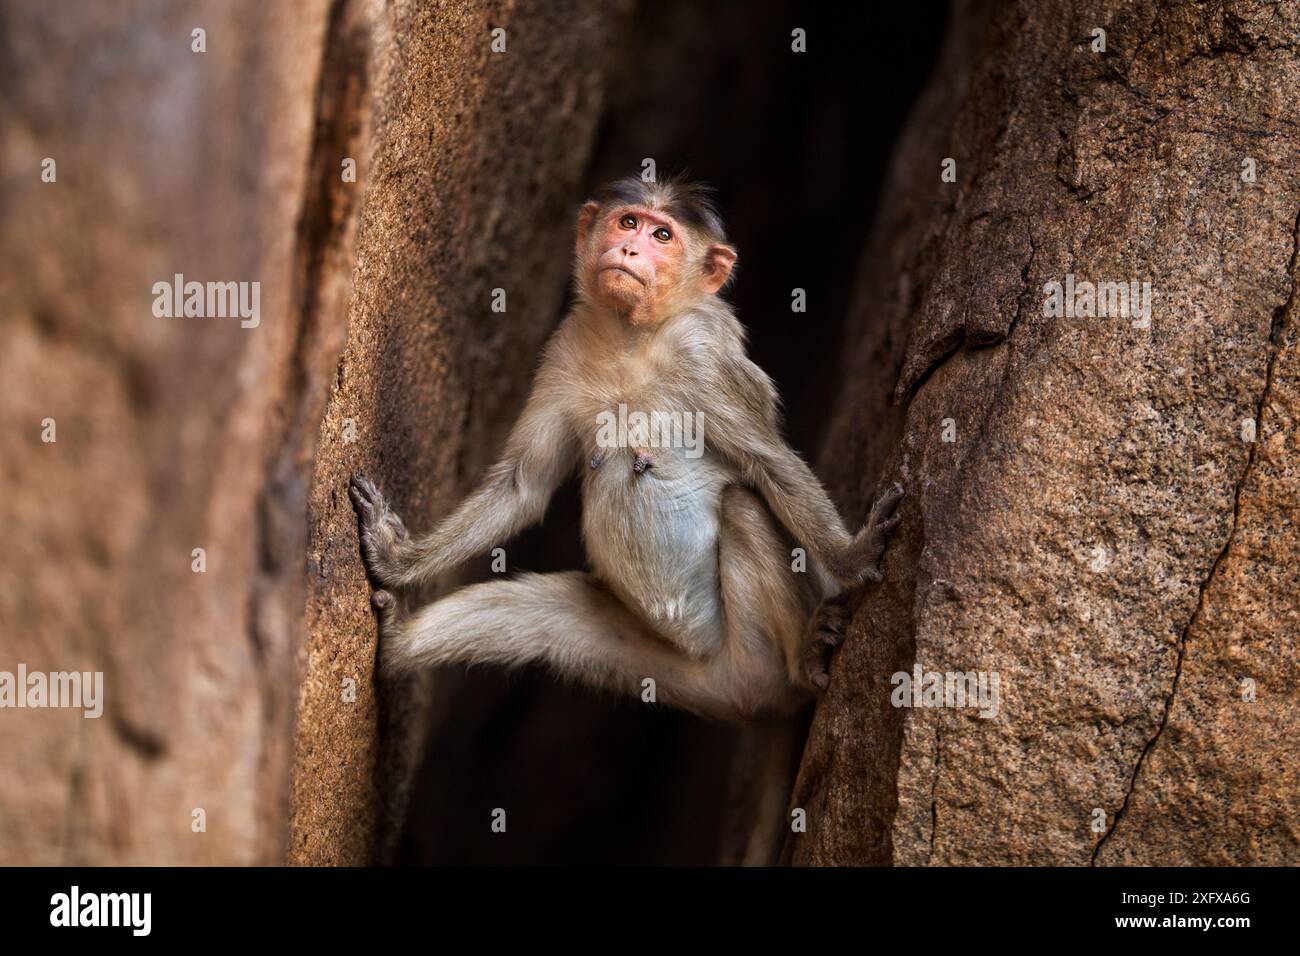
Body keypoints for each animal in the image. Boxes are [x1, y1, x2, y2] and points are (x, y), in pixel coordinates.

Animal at [349, 175, 903, 723]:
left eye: (663, 236)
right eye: (629, 221)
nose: (631, 248)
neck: (631, 339)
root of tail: (740, 689)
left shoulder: (703, 355)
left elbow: (770, 463)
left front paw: (852, 557)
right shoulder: (564, 347)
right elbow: (522, 484)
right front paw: (397, 558)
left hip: (753, 651)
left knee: (743, 507)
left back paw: (805, 659)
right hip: (677, 672)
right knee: (552, 611)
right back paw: (398, 645)